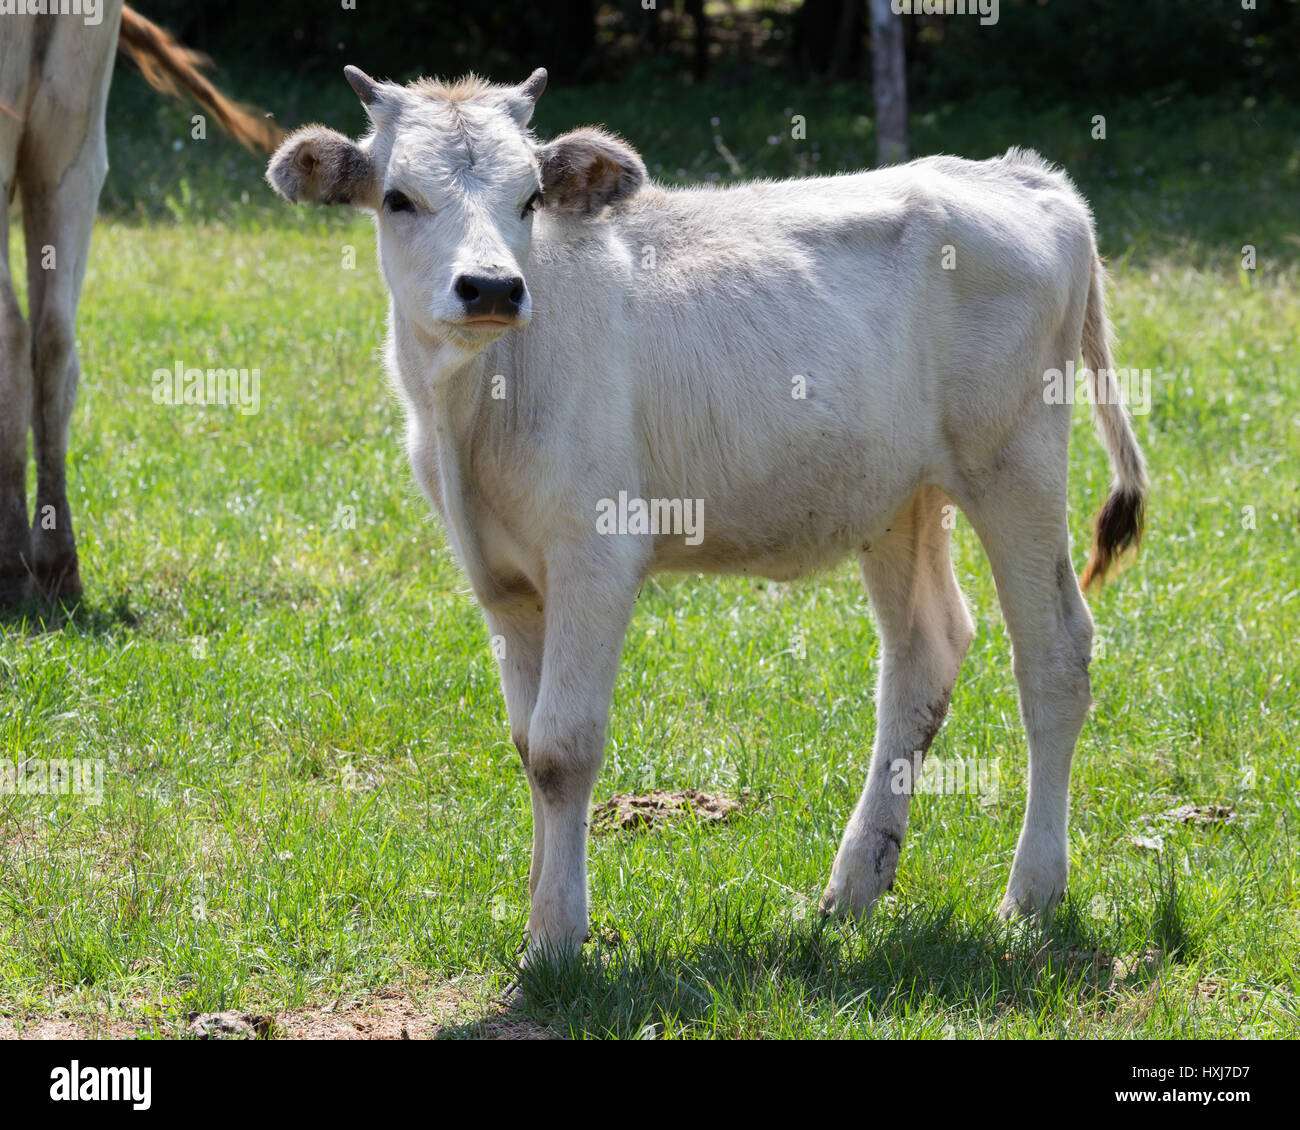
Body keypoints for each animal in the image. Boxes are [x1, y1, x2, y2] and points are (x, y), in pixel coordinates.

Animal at [266, 66, 1148, 962]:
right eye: (399, 198)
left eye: (530, 198)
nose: (492, 287)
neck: (474, 411)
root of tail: (1022, 177)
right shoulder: (500, 576)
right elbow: (525, 741)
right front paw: (537, 911)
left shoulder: (596, 552)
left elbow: (562, 746)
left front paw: (556, 940)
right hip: (899, 495)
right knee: (924, 653)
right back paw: (852, 891)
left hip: (1016, 462)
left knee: (1054, 656)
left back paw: (1030, 896)